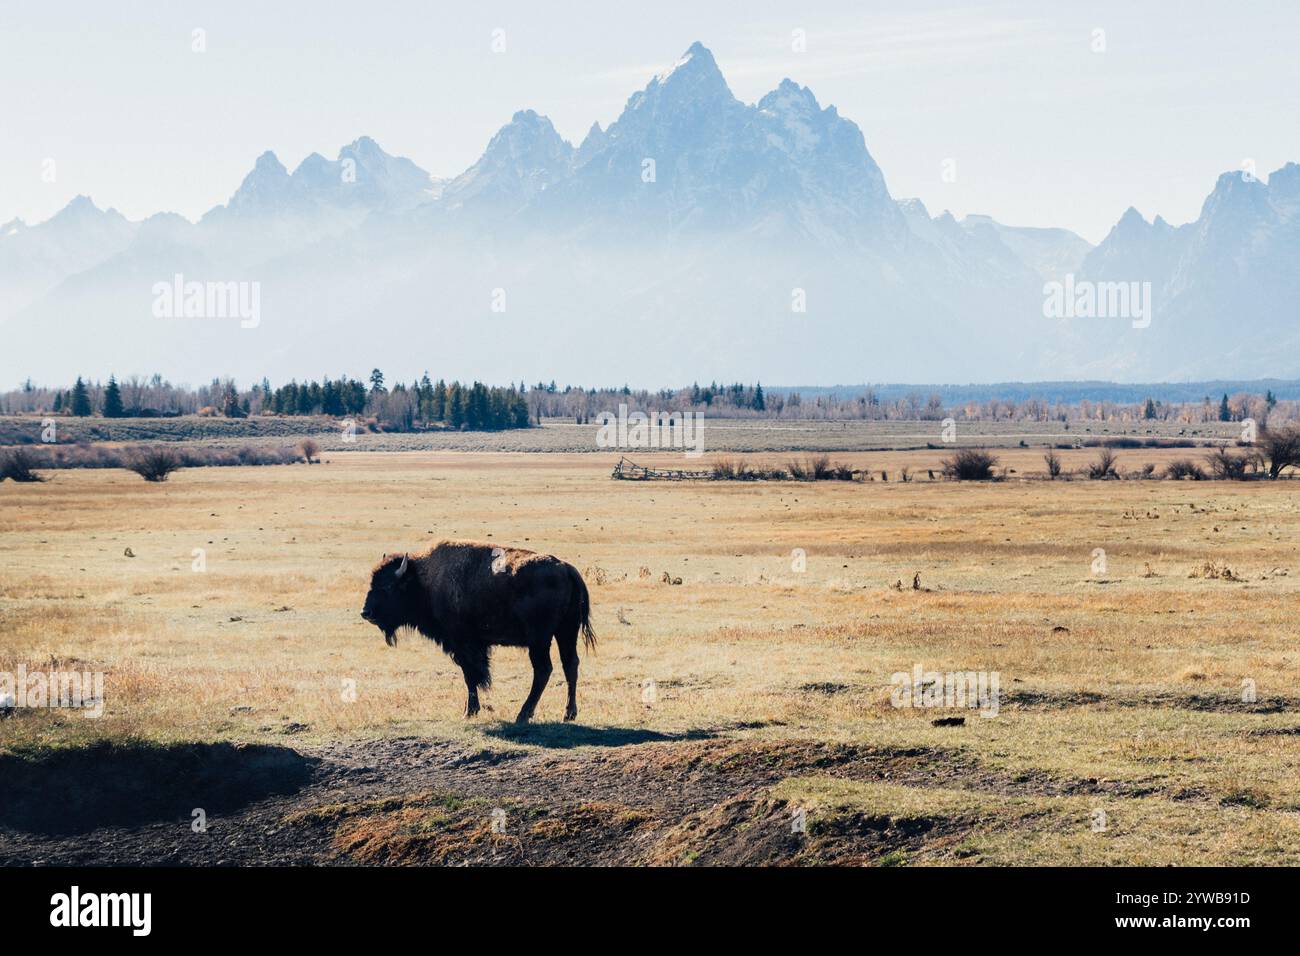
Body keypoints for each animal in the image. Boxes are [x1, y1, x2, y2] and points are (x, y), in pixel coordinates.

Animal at [361, 540, 595, 723]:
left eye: (388, 586)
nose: (366, 612)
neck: (423, 580)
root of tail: (567, 569)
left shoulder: (463, 644)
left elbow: (470, 675)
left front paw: (469, 711)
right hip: (565, 632)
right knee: (569, 665)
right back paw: (568, 714)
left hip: (540, 639)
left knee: (543, 669)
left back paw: (523, 715)